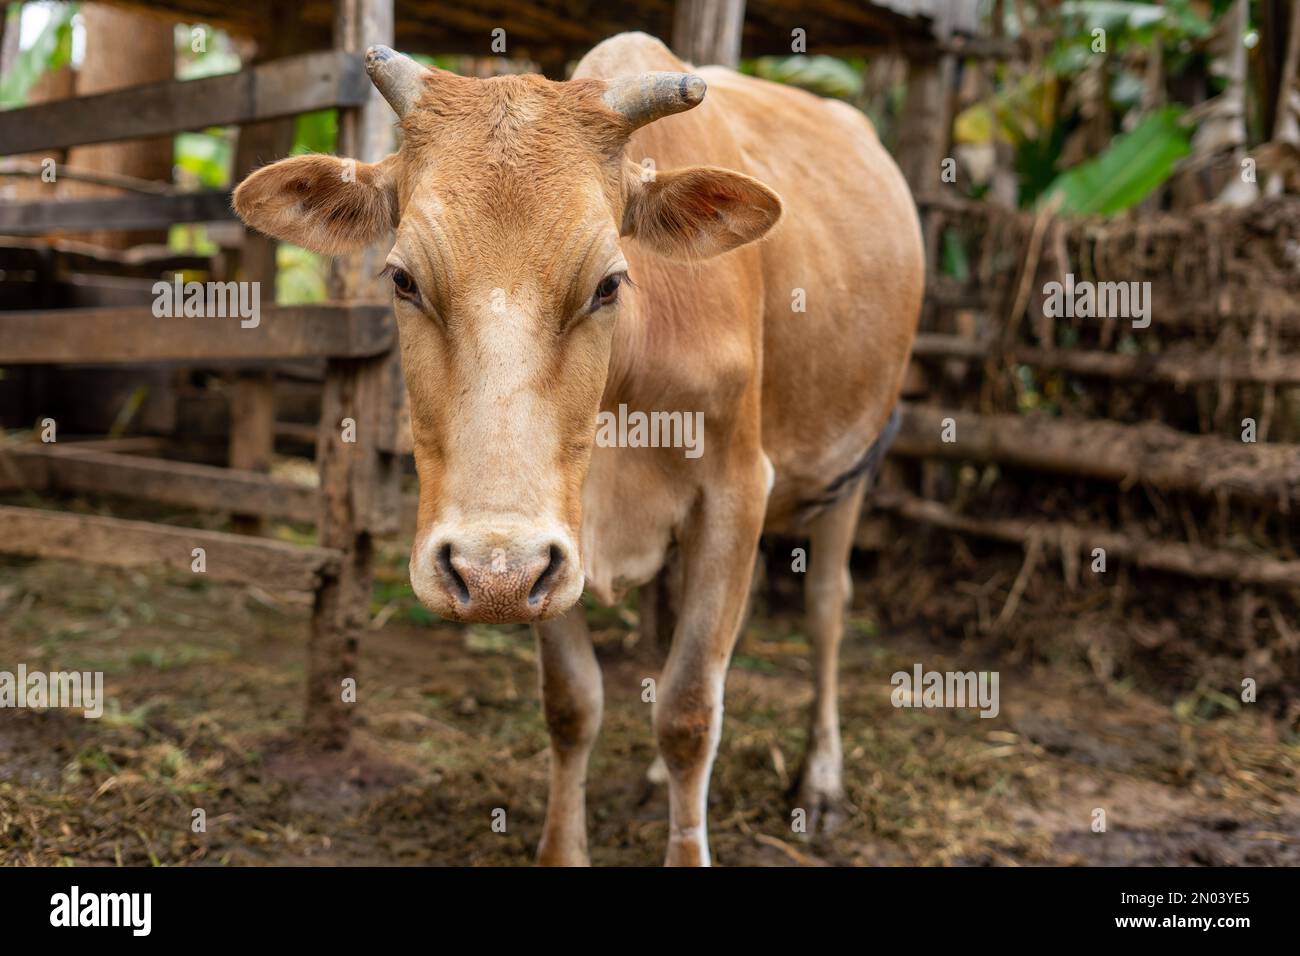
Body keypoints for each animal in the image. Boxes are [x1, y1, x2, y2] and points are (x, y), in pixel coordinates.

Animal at [233, 32, 923, 866]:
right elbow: (573, 704)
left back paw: (821, 779)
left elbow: (689, 710)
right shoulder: (548, 543)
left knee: (825, 612)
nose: (485, 573)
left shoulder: (734, 493)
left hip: (854, 465)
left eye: (609, 283)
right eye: (401, 279)